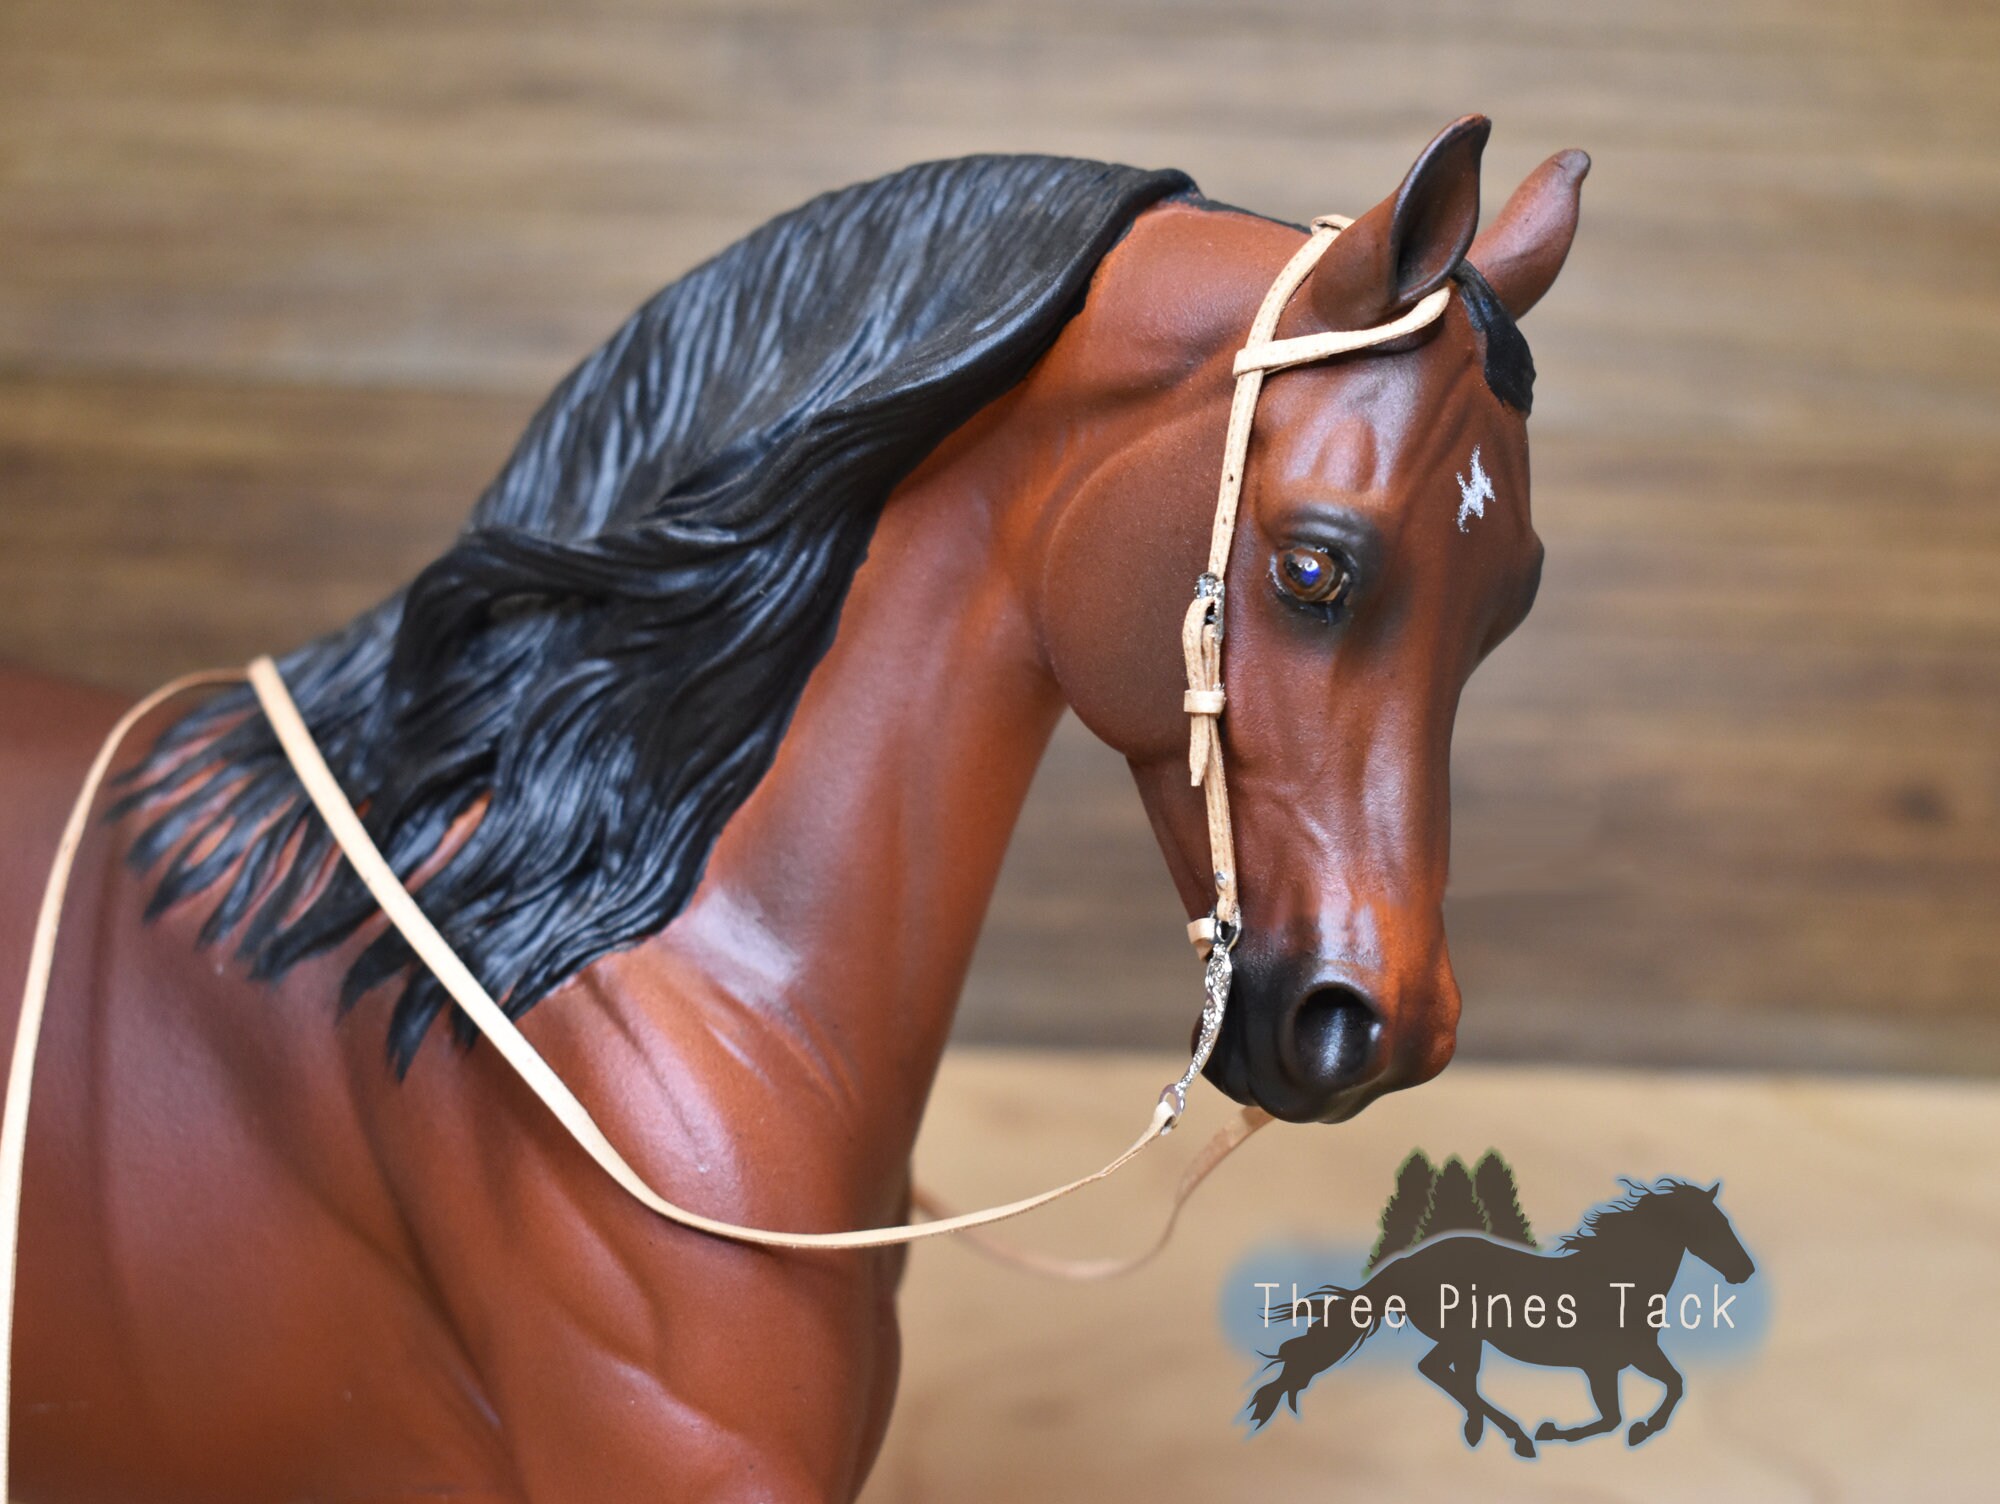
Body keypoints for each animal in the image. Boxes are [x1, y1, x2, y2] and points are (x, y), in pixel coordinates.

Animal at [1246, 1179, 1757, 1456]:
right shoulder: (1606, 1364)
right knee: (1436, 1370)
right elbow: (1618, 1414)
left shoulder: (1630, 1359)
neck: (1615, 1280)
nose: (1746, 1271)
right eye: (1710, 1226)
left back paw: (1484, 1431)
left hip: (1471, 1341)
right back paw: (1517, 1436)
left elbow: (1667, 1389)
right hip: (1461, 1335)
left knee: (1457, 1378)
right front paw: (1559, 1432)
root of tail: (1408, 1265)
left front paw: (1635, 1430)